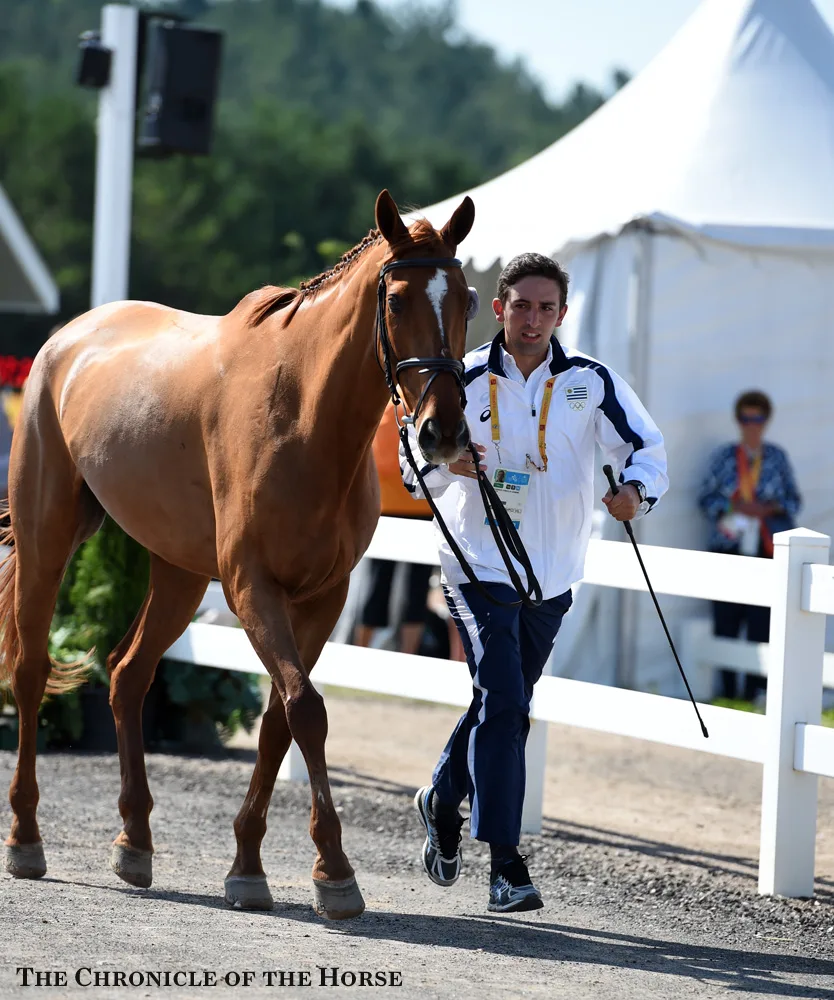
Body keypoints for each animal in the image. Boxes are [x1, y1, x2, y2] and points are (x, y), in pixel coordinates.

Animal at [0, 189, 476, 919]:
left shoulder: (322, 596)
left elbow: (280, 720)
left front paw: (250, 864)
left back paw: (135, 841)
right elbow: (306, 709)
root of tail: (67, 340)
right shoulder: (253, 587)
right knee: (30, 669)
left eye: (469, 300)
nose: (442, 430)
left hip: (178, 573)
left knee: (128, 673)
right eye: (396, 301)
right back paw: (26, 836)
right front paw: (334, 870)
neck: (304, 418)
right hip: (47, 536)